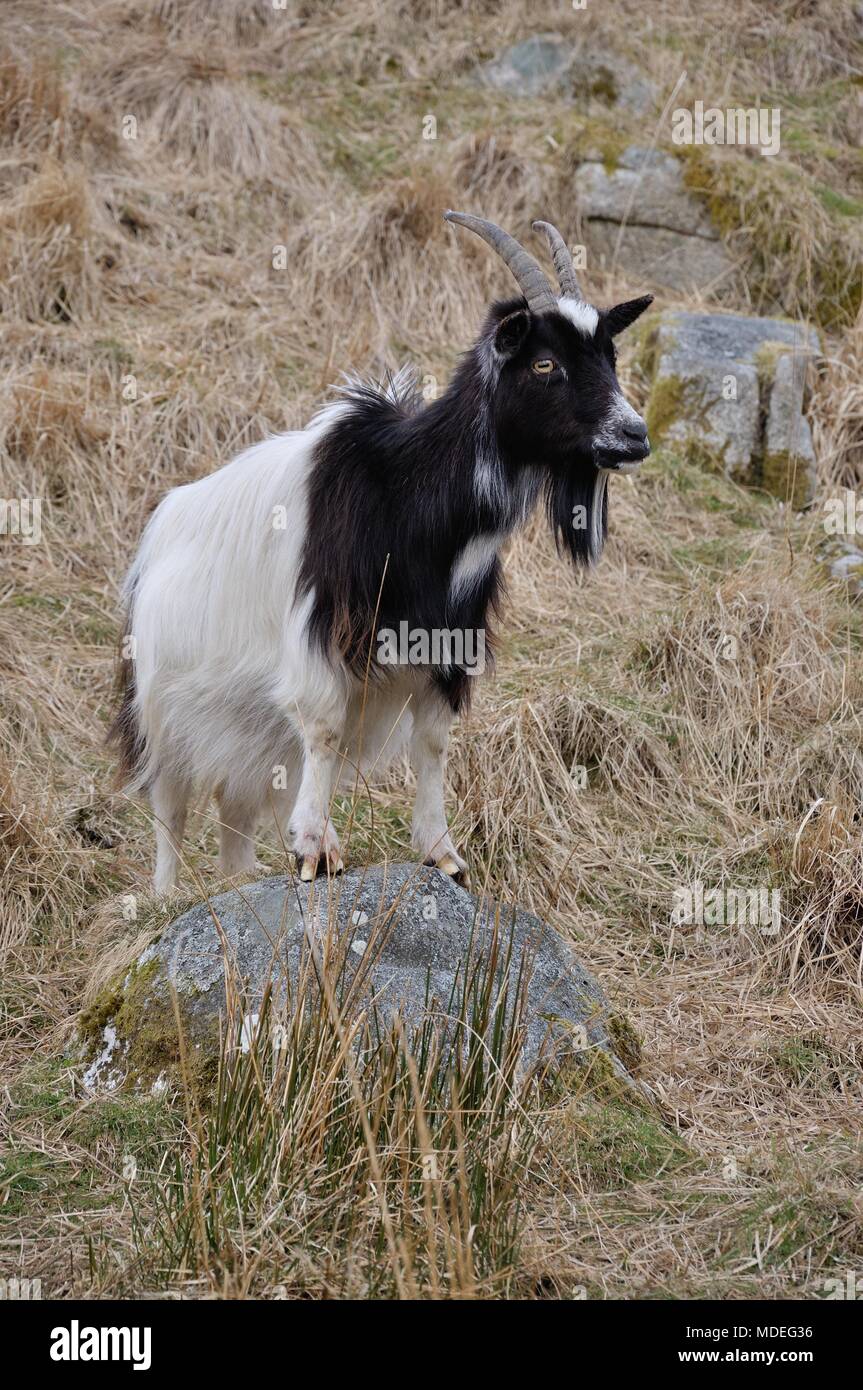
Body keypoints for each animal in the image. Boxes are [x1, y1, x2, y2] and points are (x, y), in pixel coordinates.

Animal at [111, 213, 653, 892]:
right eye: (545, 363)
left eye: (610, 355)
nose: (635, 435)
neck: (405, 498)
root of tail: (155, 536)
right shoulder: (322, 634)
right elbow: (323, 729)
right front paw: (315, 850)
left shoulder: (447, 643)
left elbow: (434, 741)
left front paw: (442, 851)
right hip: (160, 703)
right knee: (170, 802)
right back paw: (165, 894)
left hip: (245, 725)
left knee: (237, 803)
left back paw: (238, 880)